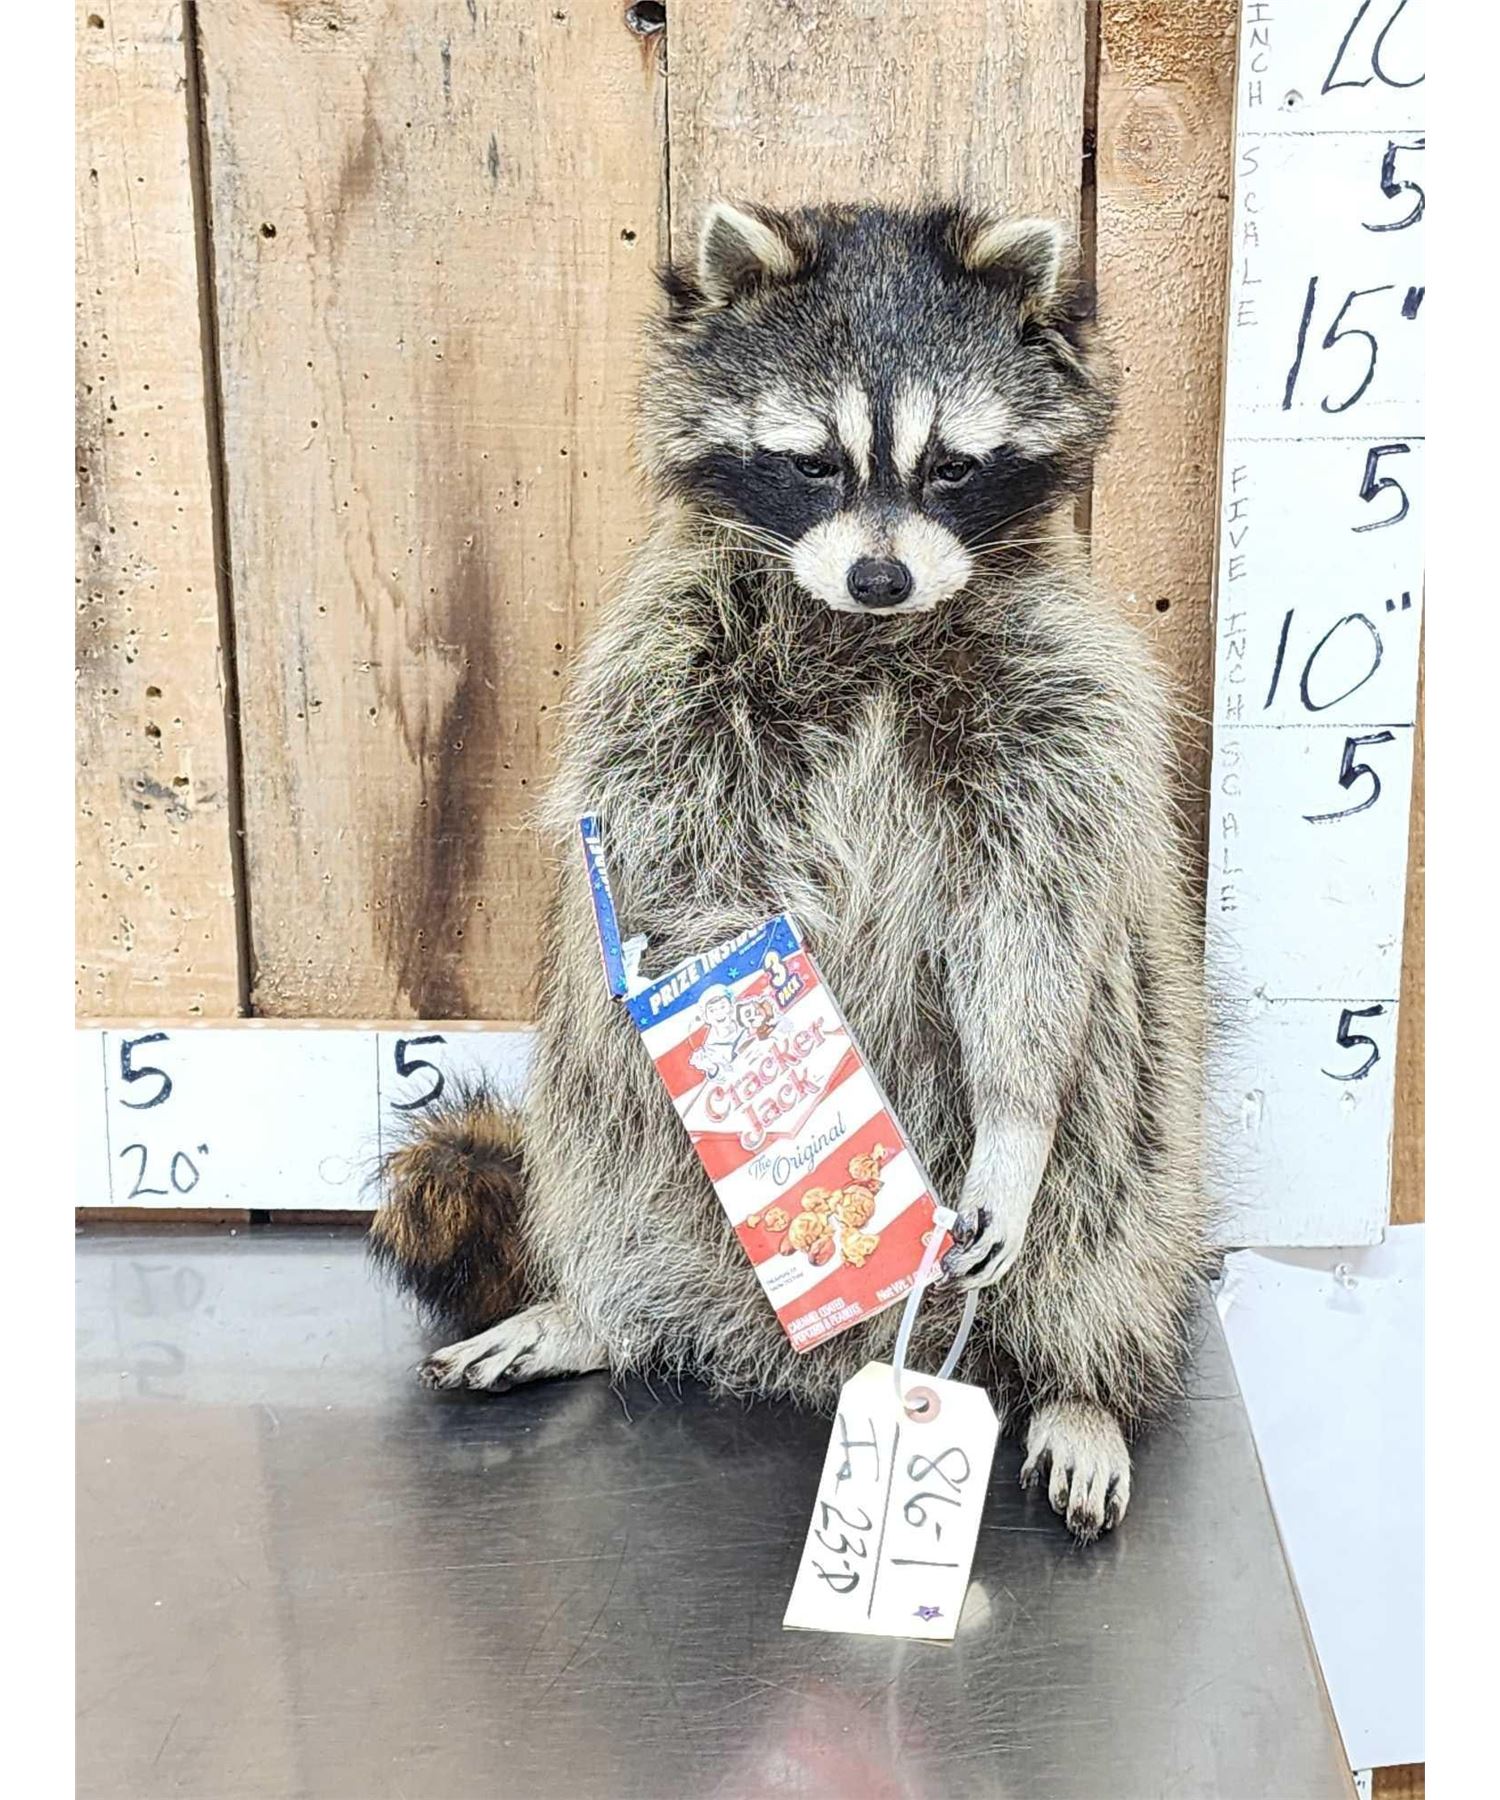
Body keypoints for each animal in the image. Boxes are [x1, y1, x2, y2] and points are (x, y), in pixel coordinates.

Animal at [371, 201, 1211, 1541]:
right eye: (814, 463)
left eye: (951, 467)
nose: (880, 576)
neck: (870, 634)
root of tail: (830, 1357)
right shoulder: (671, 670)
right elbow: (679, 879)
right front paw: (751, 1034)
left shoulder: (1060, 695)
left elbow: (1032, 917)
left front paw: (1015, 1127)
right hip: (618, 1116)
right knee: (608, 1121)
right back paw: (606, 1305)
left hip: (1137, 1098)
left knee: (1120, 1162)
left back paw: (1087, 1381)